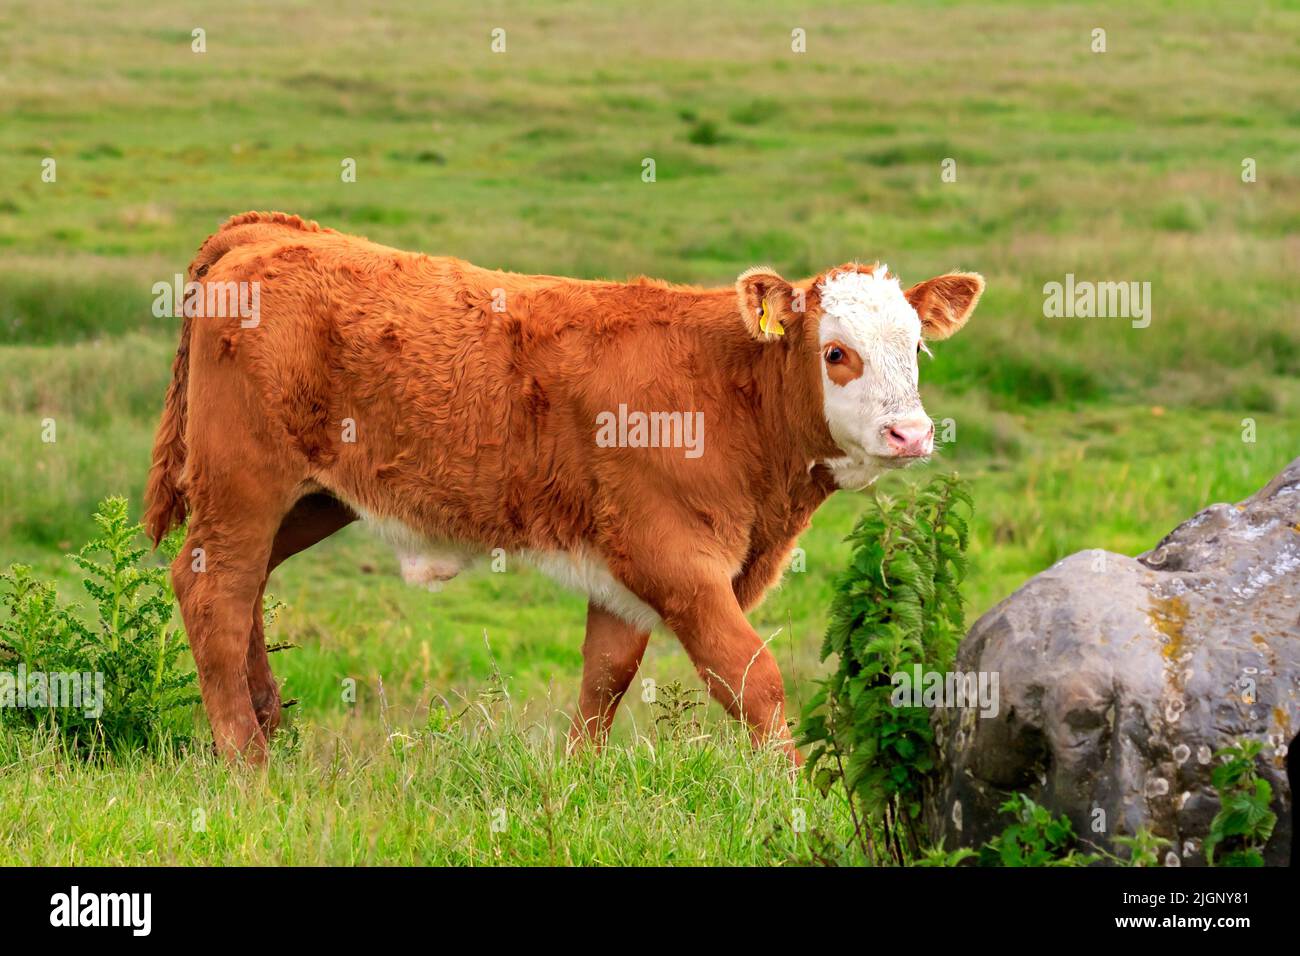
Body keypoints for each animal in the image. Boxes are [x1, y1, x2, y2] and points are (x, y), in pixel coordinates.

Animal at [144, 211, 983, 765]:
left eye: (916, 348)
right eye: (836, 353)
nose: (911, 434)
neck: (723, 387)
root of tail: (271, 231)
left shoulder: (625, 569)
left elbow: (604, 678)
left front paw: (581, 780)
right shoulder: (675, 559)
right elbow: (755, 680)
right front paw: (796, 796)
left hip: (310, 500)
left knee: (245, 589)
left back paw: (271, 729)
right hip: (244, 485)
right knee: (216, 596)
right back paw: (249, 765)